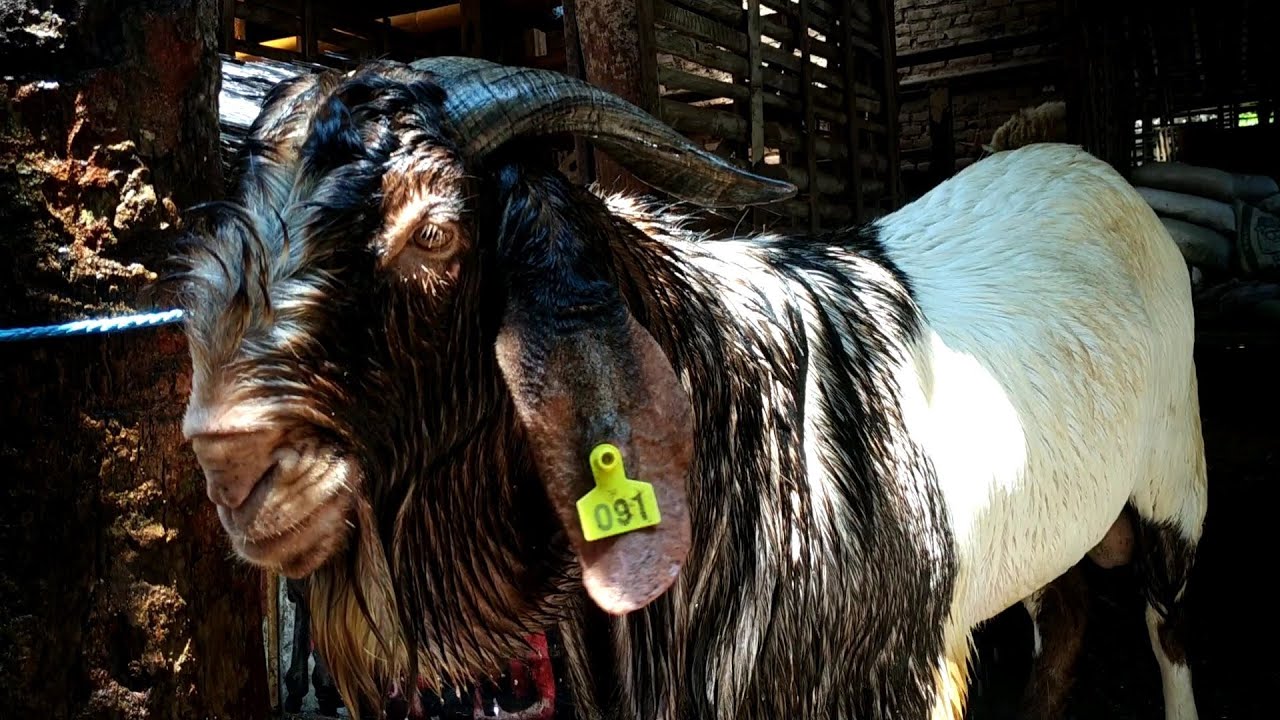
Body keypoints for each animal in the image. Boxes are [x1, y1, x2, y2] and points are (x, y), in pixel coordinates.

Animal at [167, 58, 1206, 720]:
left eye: (433, 231)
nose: (231, 461)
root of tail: (1080, 163)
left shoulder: (903, 671)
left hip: (1175, 483)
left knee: (1170, 630)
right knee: (1065, 619)